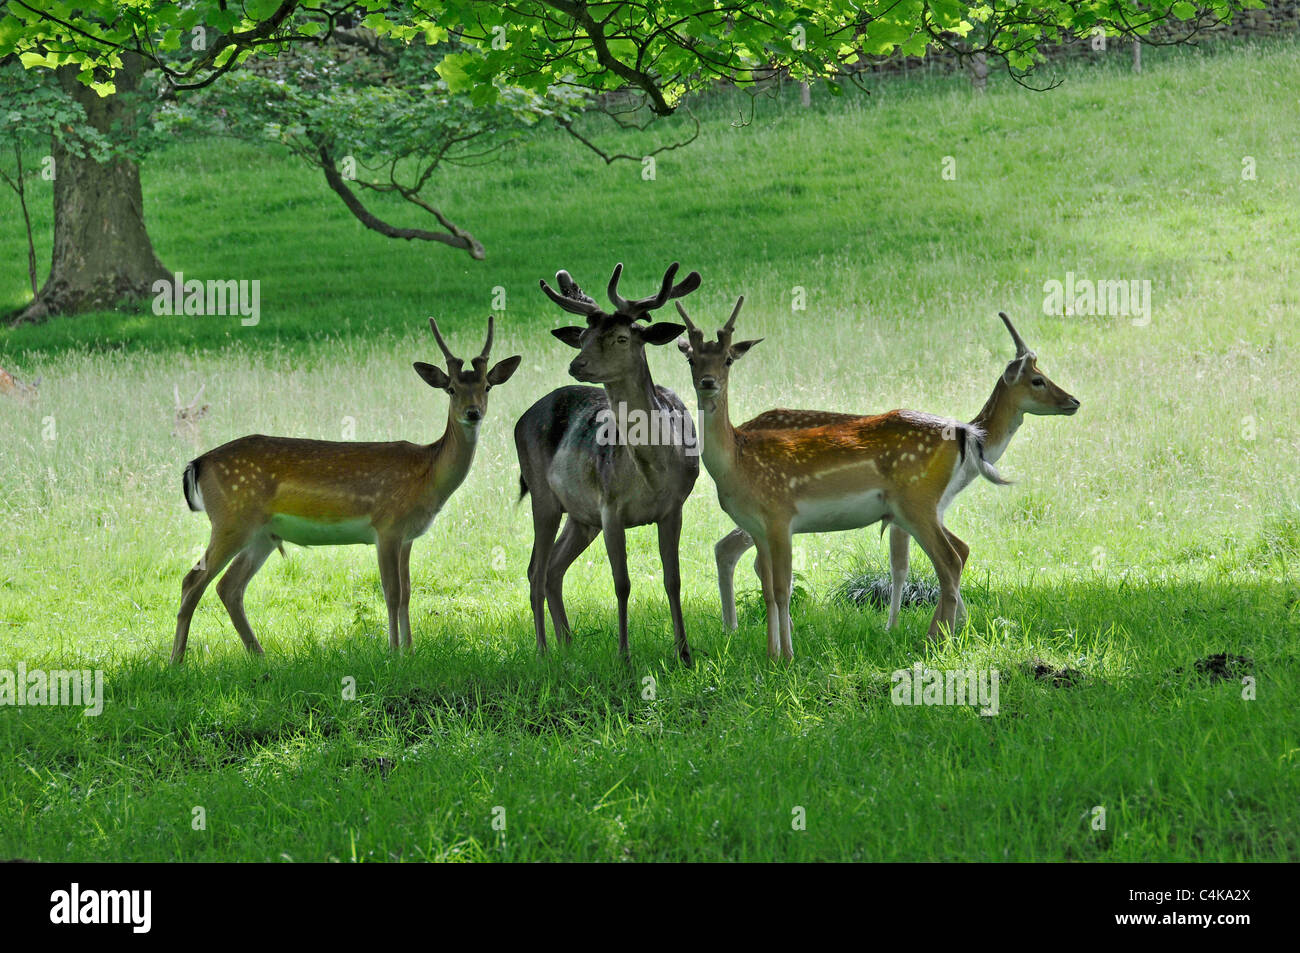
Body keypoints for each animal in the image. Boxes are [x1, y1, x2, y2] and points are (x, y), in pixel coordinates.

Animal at [170, 316, 521, 664]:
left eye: (486, 386)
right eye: (451, 389)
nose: (473, 412)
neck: (428, 474)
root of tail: (197, 463)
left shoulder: (408, 536)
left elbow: (407, 592)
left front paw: (410, 650)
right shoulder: (387, 526)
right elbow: (392, 592)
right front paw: (394, 652)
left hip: (262, 534)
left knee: (228, 586)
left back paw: (260, 656)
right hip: (231, 520)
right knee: (193, 580)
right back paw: (177, 660)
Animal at [516, 262, 701, 664]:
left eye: (621, 338)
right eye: (584, 336)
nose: (577, 363)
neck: (652, 470)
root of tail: (522, 417)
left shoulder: (674, 507)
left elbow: (674, 579)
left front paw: (684, 653)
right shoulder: (610, 508)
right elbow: (622, 583)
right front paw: (624, 655)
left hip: (581, 516)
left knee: (553, 567)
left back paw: (568, 644)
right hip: (543, 495)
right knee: (535, 568)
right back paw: (542, 650)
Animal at [676, 299, 1038, 659]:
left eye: (727, 359)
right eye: (692, 358)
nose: (707, 382)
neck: (738, 464)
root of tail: (966, 432)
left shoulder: (779, 516)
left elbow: (781, 589)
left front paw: (787, 657)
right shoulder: (757, 527)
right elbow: (767, 590)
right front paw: (771, 655)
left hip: (917, 501)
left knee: (949, 561)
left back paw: (936, 642)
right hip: (919, 507)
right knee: (953, 557)